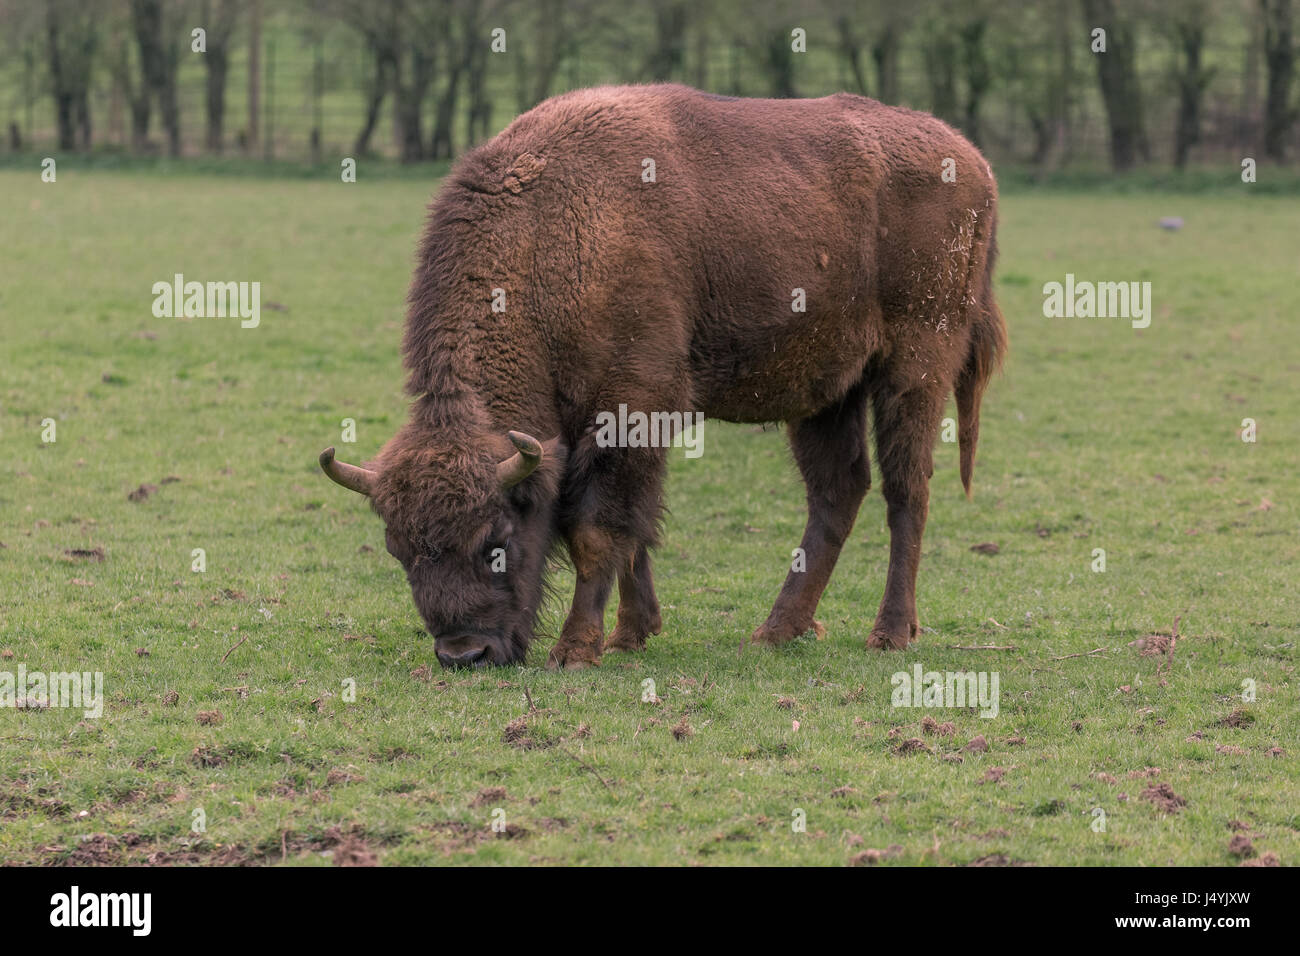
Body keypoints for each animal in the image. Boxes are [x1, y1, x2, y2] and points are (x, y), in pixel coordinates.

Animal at [319, 84, 1007, 669]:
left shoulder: (631, 408)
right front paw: (632, 633)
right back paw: (776, 631)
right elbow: (633, 529)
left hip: (914, 368)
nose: (464, 654)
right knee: (838, 493)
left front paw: (577, 649)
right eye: (397, 548)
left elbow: (596, 530)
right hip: (825, 393)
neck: (553, 236)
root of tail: (973, 161)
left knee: (906, 491)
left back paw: (889, 634)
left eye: (496, 538)